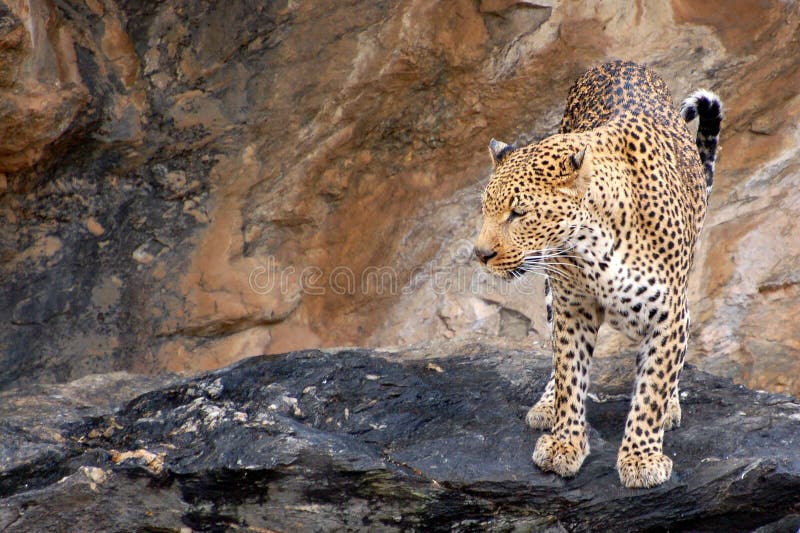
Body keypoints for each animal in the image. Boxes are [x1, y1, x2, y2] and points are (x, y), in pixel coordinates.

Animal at [473, 60, 722, 488]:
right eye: (487, 210)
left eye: (518, 213)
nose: (480, 254)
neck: (593, 248)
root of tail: (621, 63)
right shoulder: (572, 309)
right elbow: (570, 374)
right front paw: (564, 443)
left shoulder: (669, 314)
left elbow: (652, 387)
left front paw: (641, 457)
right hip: (551, 294)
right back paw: (547, 405)